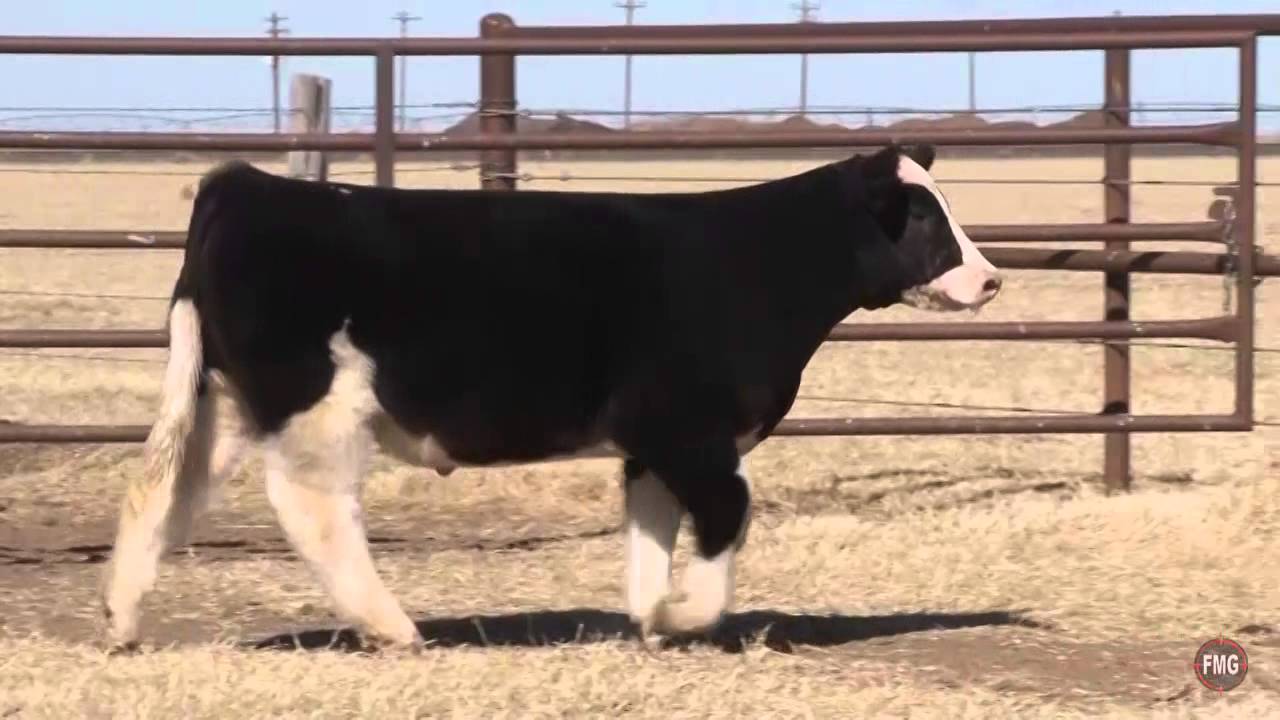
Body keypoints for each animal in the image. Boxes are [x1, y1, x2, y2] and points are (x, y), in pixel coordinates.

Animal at [99, 143, 1001, 652]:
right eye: (924, 217)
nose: (990, 277)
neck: (762, 259)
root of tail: (246, 184)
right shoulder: (690, 432)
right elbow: (725, 518)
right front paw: (688, 617)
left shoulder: (650, 446)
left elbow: (649, 534)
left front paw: (649, 622)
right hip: (318, 408)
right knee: (313, 508)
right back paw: (395, 629)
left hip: (219, 400)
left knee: (161, 489)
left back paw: (121, 620)